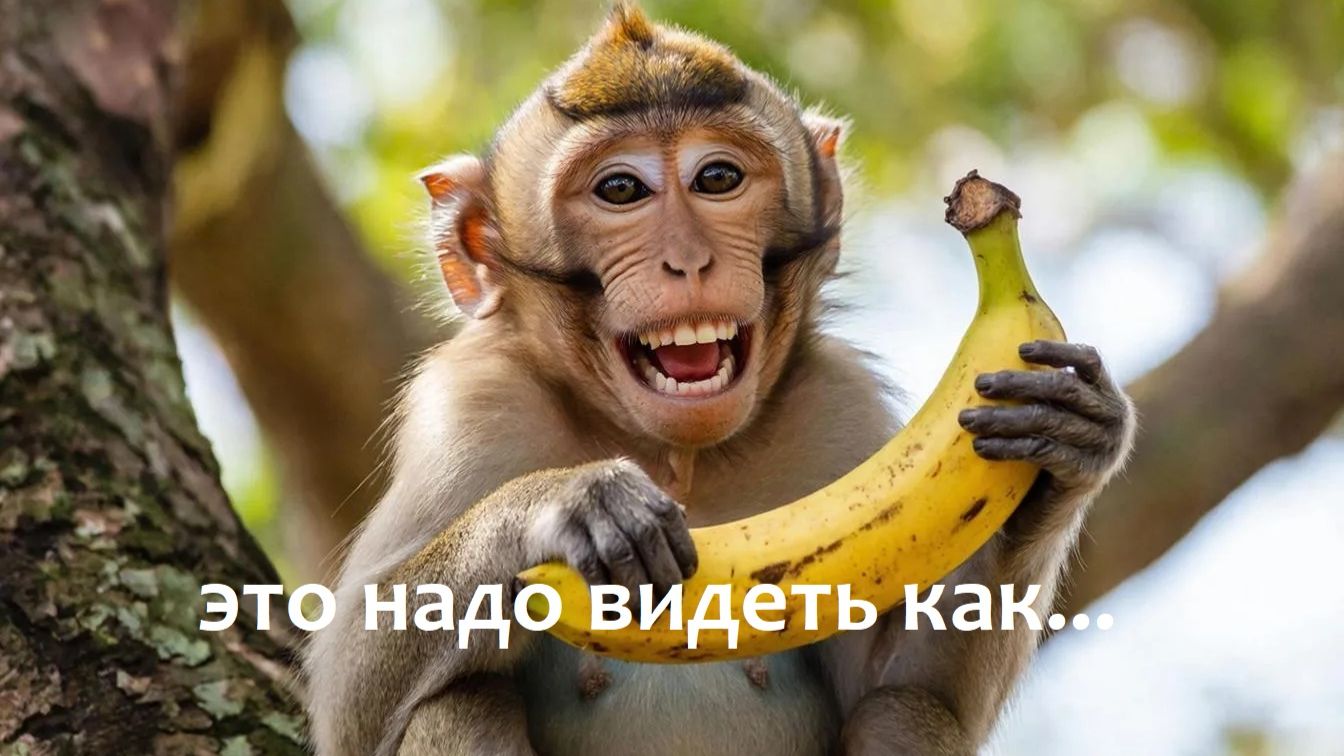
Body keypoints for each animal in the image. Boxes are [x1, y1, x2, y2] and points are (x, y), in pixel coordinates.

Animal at [301, 4, 1135, 755]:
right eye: (621, 191)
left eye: (718, 178)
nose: (689, 258)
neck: (679, 459)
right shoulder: (470, 406)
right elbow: (346, 697)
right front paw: (564, 505)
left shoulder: (837, 405)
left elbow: (896, 679)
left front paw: (1069, 446)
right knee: (462, 704)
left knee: (902, 713)